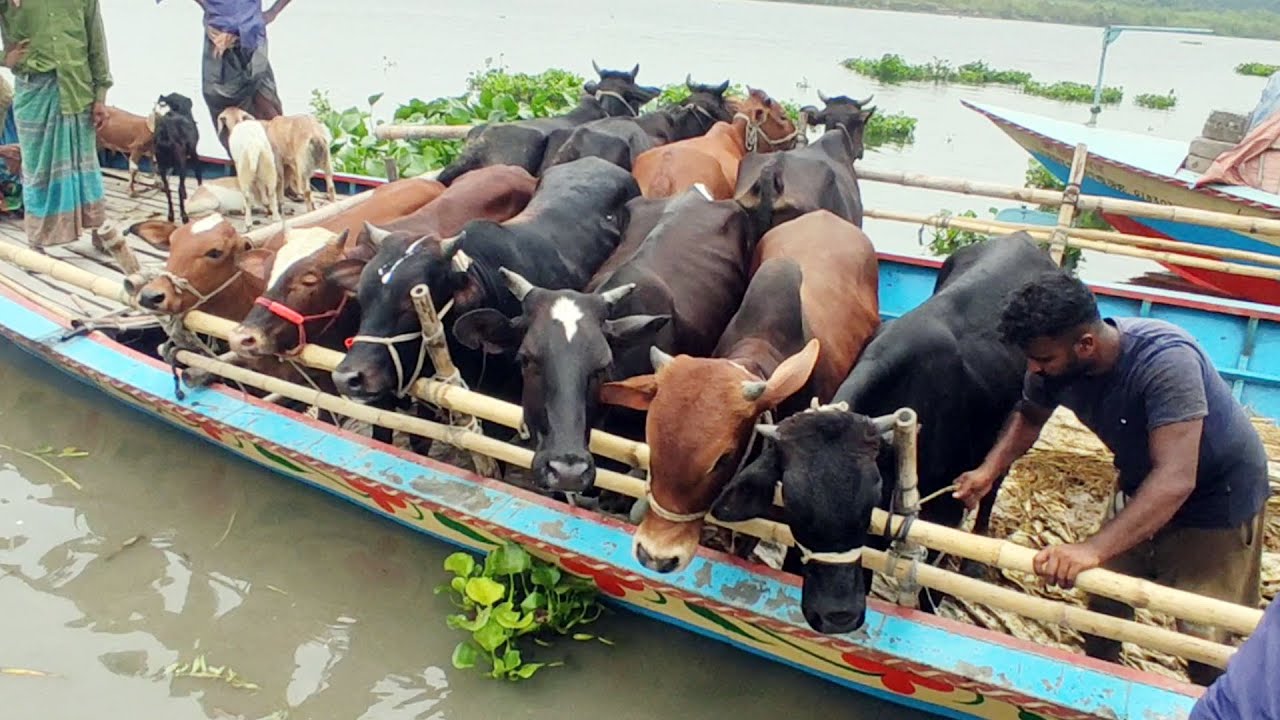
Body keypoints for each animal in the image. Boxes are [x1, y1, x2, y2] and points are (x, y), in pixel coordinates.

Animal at [709, 232, 1063, 635]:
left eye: (870, 498)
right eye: (794, 503)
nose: (837, 616)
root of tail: (1023, 240)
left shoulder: (948, 503)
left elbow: (931, 582)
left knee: (994, 483)